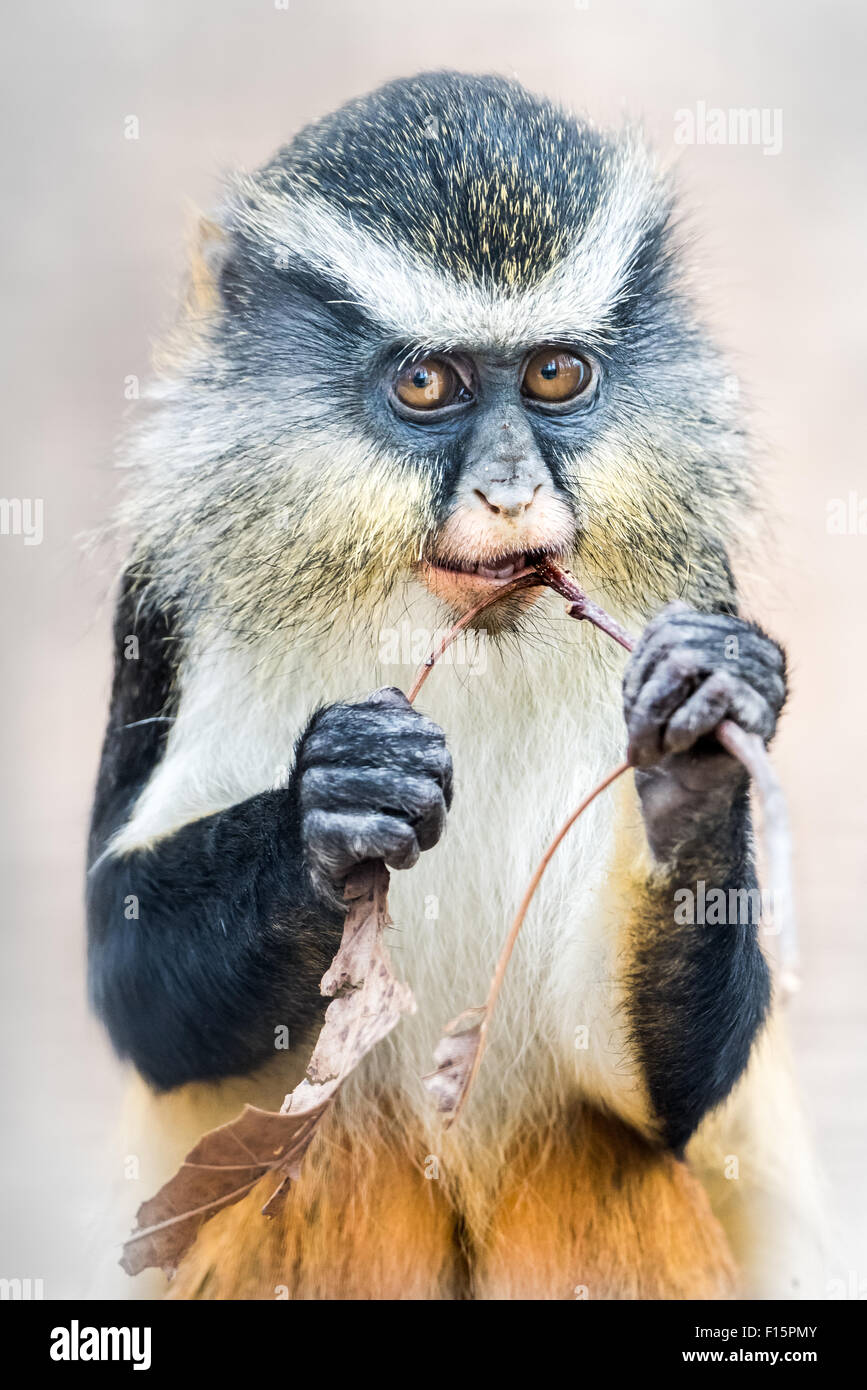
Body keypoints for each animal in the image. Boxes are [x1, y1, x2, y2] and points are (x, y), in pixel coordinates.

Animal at [87, 71, 827, 1300]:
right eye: (427, 379)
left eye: (555, 373)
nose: (512, 488)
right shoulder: (161, 612)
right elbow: (129, 981)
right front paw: (333, 806)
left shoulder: (699, 579)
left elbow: (658, 1095)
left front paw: (696, 763)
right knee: (338, 1158)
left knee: (592, 1155)